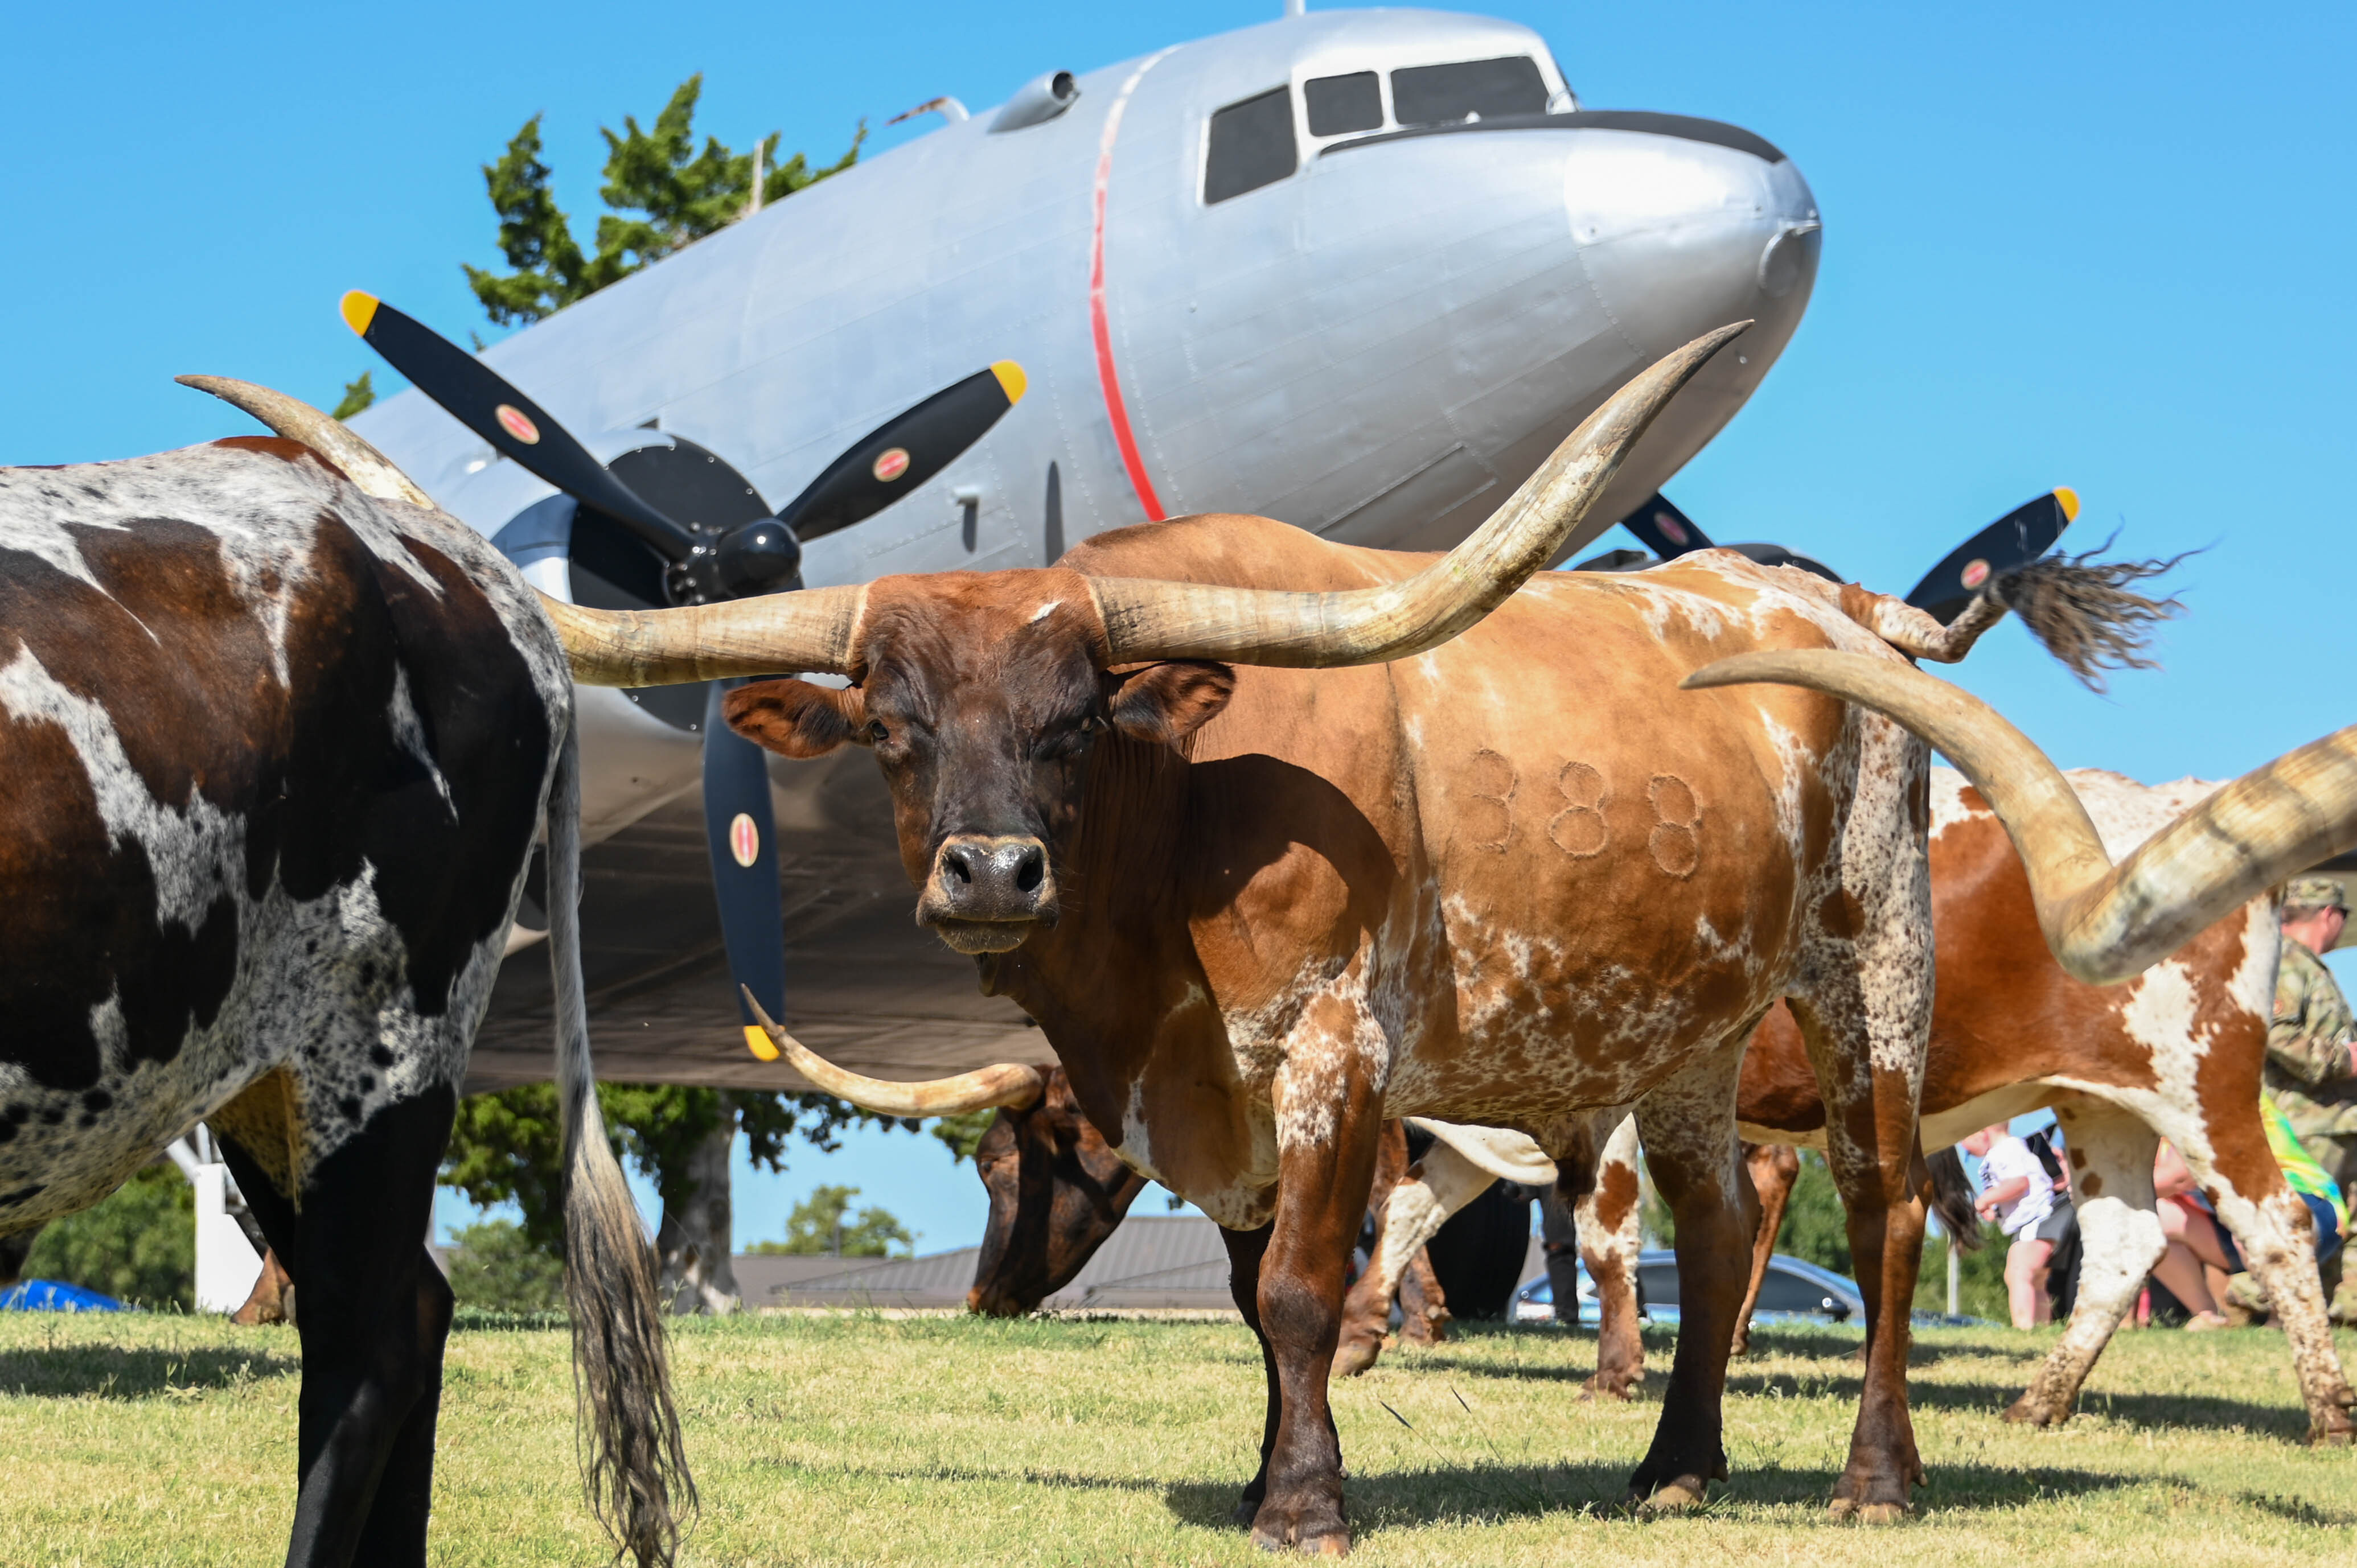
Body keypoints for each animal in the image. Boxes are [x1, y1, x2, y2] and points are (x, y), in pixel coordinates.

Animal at [547, 324, 2231, 1552]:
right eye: (891, 729)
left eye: (1075, 718)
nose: (993, 871)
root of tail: (1848, 610)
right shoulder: (1216, 1084)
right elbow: (1250, 1297)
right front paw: (1260, 1479)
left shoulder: (1329, 1046)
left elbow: (1302, 1287)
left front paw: (1303, 1505)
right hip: (1688, 1025)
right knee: (1714, 1226)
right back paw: (1674, 1466)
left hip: (1867, 960)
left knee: (1874, 1209)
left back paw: (1875, 1477)